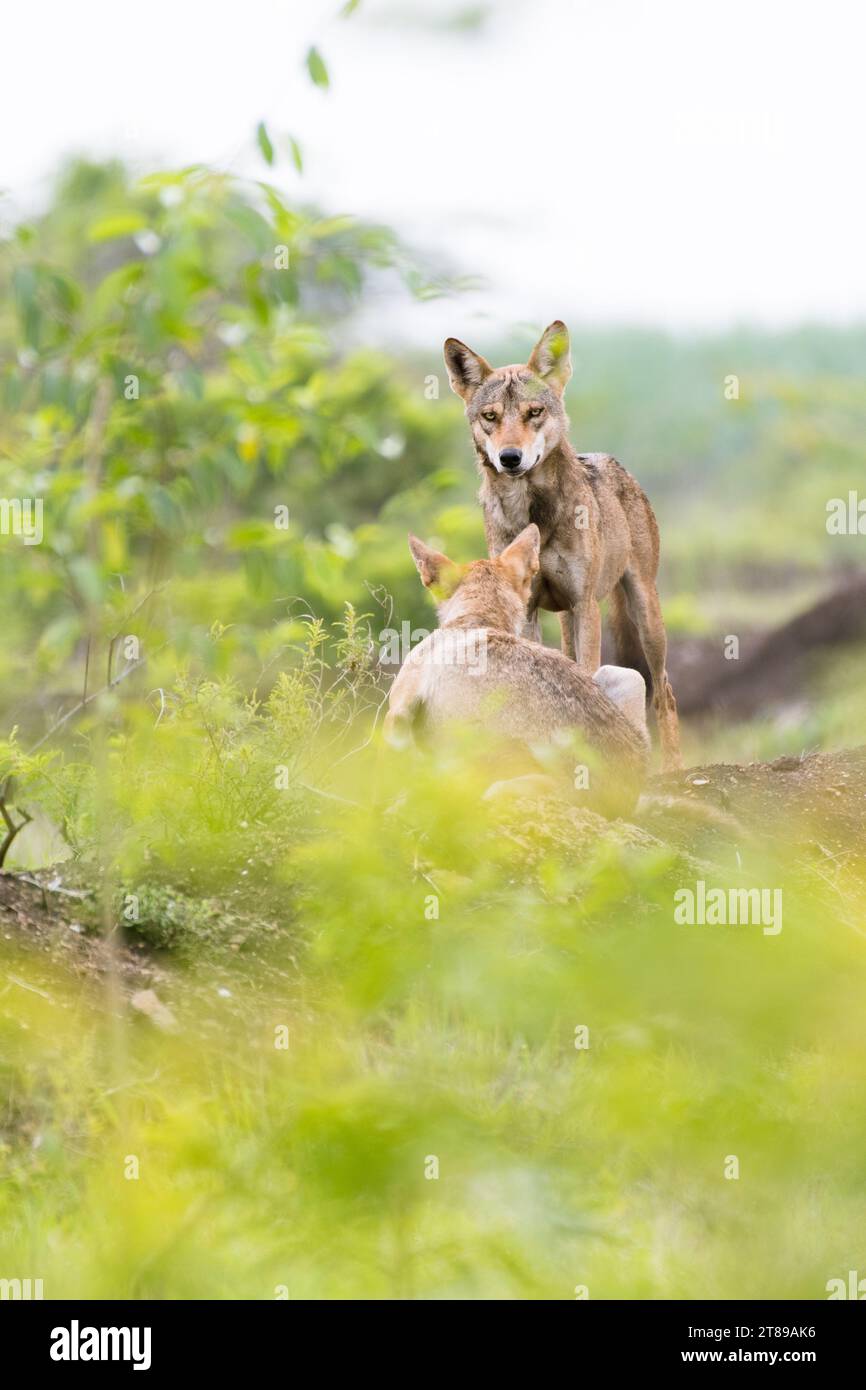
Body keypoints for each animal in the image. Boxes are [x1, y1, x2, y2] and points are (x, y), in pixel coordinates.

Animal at [443, 320, 682, 770]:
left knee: (665, 690)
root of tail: (609, 460)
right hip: (570, 619)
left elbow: (591, 679)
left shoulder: (586, 604)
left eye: (534, 413)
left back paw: (673, 766)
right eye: (490, 417)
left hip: (644, 616)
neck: (532, 515)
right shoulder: (530, 609)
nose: (510, 457)